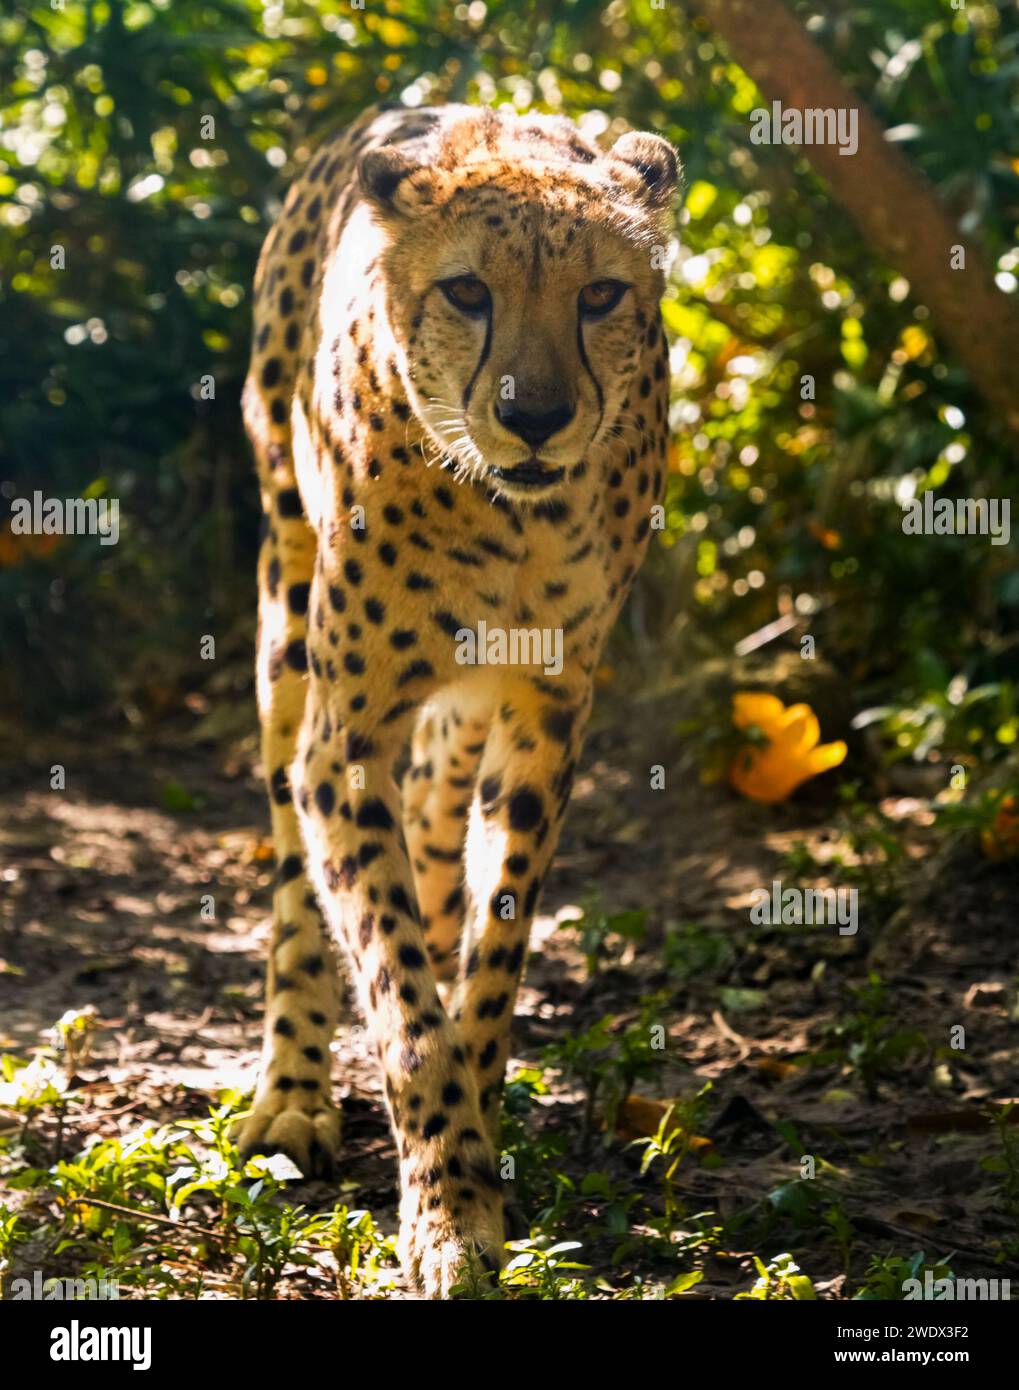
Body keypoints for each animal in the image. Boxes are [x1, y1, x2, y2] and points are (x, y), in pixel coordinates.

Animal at [240, 100, 678, 1298]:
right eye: (467, 292)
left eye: (599, 296)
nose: (535, 415)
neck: (506, 516)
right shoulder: (345, 739)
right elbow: (395, 989)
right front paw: (449, 1202)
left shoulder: (548, 709)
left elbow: (496, 945)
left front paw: (478, 1132)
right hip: (284, 615)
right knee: (295, 873)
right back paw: (291, 1091)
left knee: (437, 804)